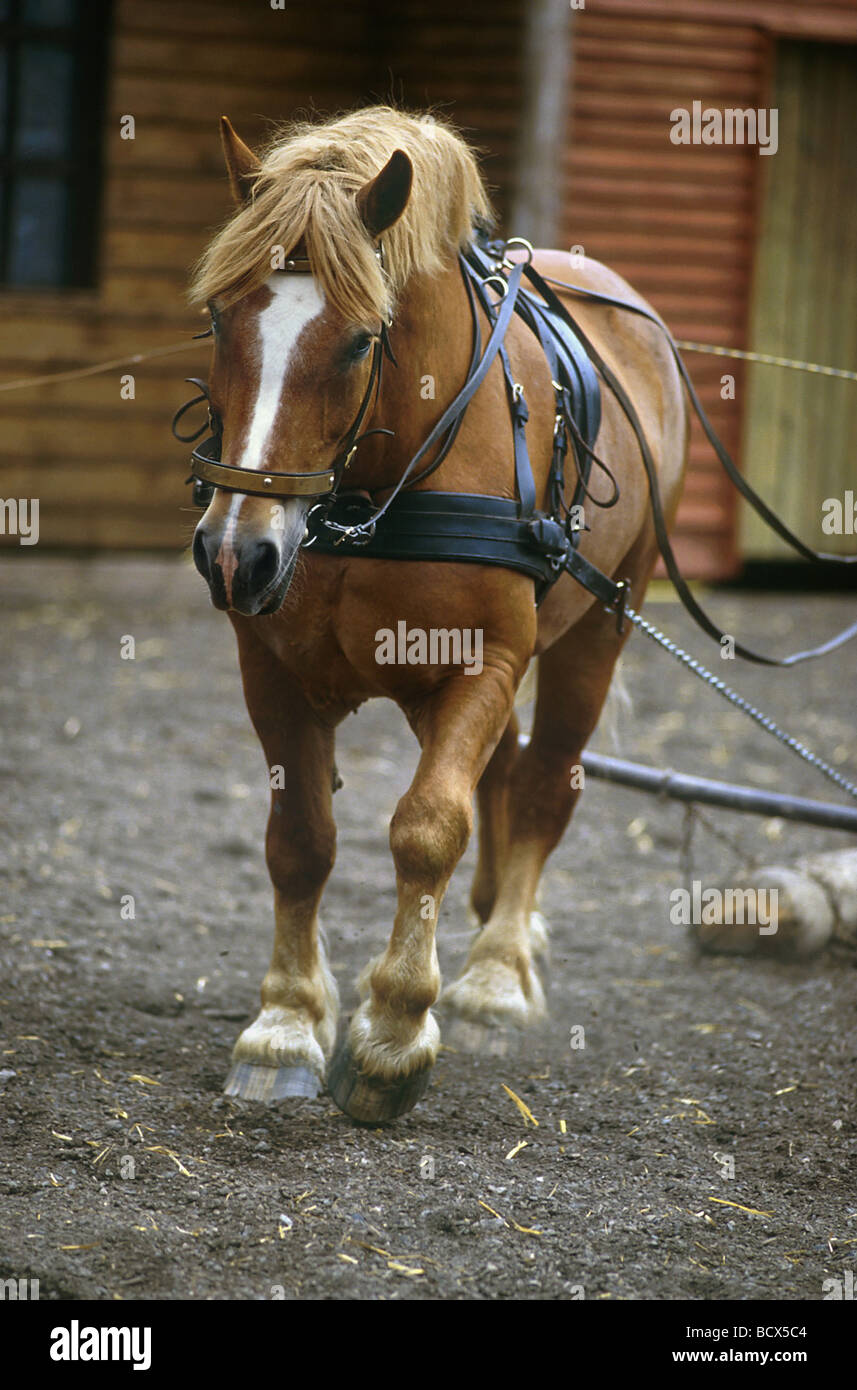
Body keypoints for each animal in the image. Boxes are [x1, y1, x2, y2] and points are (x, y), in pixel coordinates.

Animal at [185, 106, 689, 1122]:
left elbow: (426, 829)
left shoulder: (483, 661)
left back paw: (496, 971)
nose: (234, 552)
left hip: (598, 629)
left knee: (543, 782)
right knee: (501, 773)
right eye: (220, 316)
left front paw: (391, 1032)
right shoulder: (272, 672)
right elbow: (300, 841)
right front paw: (286, 1023)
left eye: (356, 341)